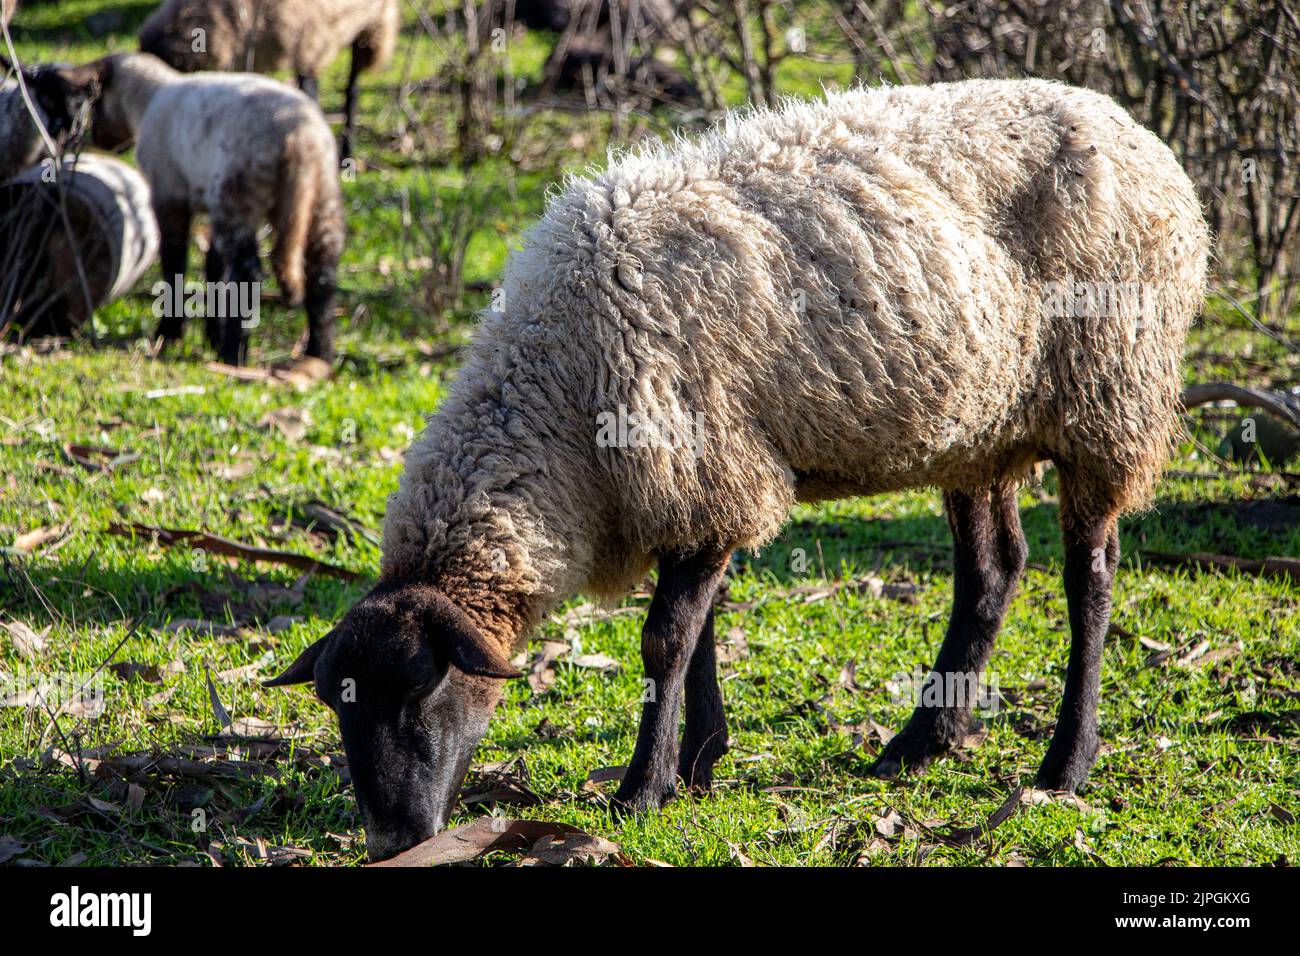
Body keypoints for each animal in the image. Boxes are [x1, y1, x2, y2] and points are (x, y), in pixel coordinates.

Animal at [54, 52, 344, 364]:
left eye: (94, 102)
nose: (98, 139)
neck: (146, 100)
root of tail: (300, 141)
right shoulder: (208, 203)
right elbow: (213, 268)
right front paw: (211, 335)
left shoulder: (169, 193)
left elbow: (174, 261)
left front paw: (169, 334)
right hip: (321, 198)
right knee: (322, 274)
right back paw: (319, 353)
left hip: (239, 191)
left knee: (248, 274)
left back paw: (234, 354)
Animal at [267, 78, 1210, 860]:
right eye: (339, 709)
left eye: (418, 698)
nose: (391, 843)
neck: (557, 388)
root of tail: (1144, 139)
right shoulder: (697, 481)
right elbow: (700, 633)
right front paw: (699, 762)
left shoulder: (702, 464)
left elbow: (665, 639)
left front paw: (642, 789)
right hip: (980, 422)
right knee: (994, 569)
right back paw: (918, 745)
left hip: (1108, 393)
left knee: (1091, 574)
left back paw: (1065, 764)